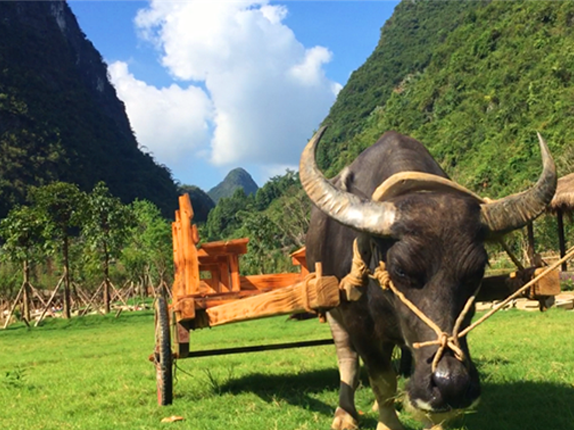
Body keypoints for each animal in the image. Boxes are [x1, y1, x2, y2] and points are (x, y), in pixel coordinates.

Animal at [302, 128, 560, 430]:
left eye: (477, 271)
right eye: (400, 269)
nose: (452, 384)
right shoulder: (359, 323)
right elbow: (382, 378)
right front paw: (387, 422)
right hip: (332, 310)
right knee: (347, 357)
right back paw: (345, 415)